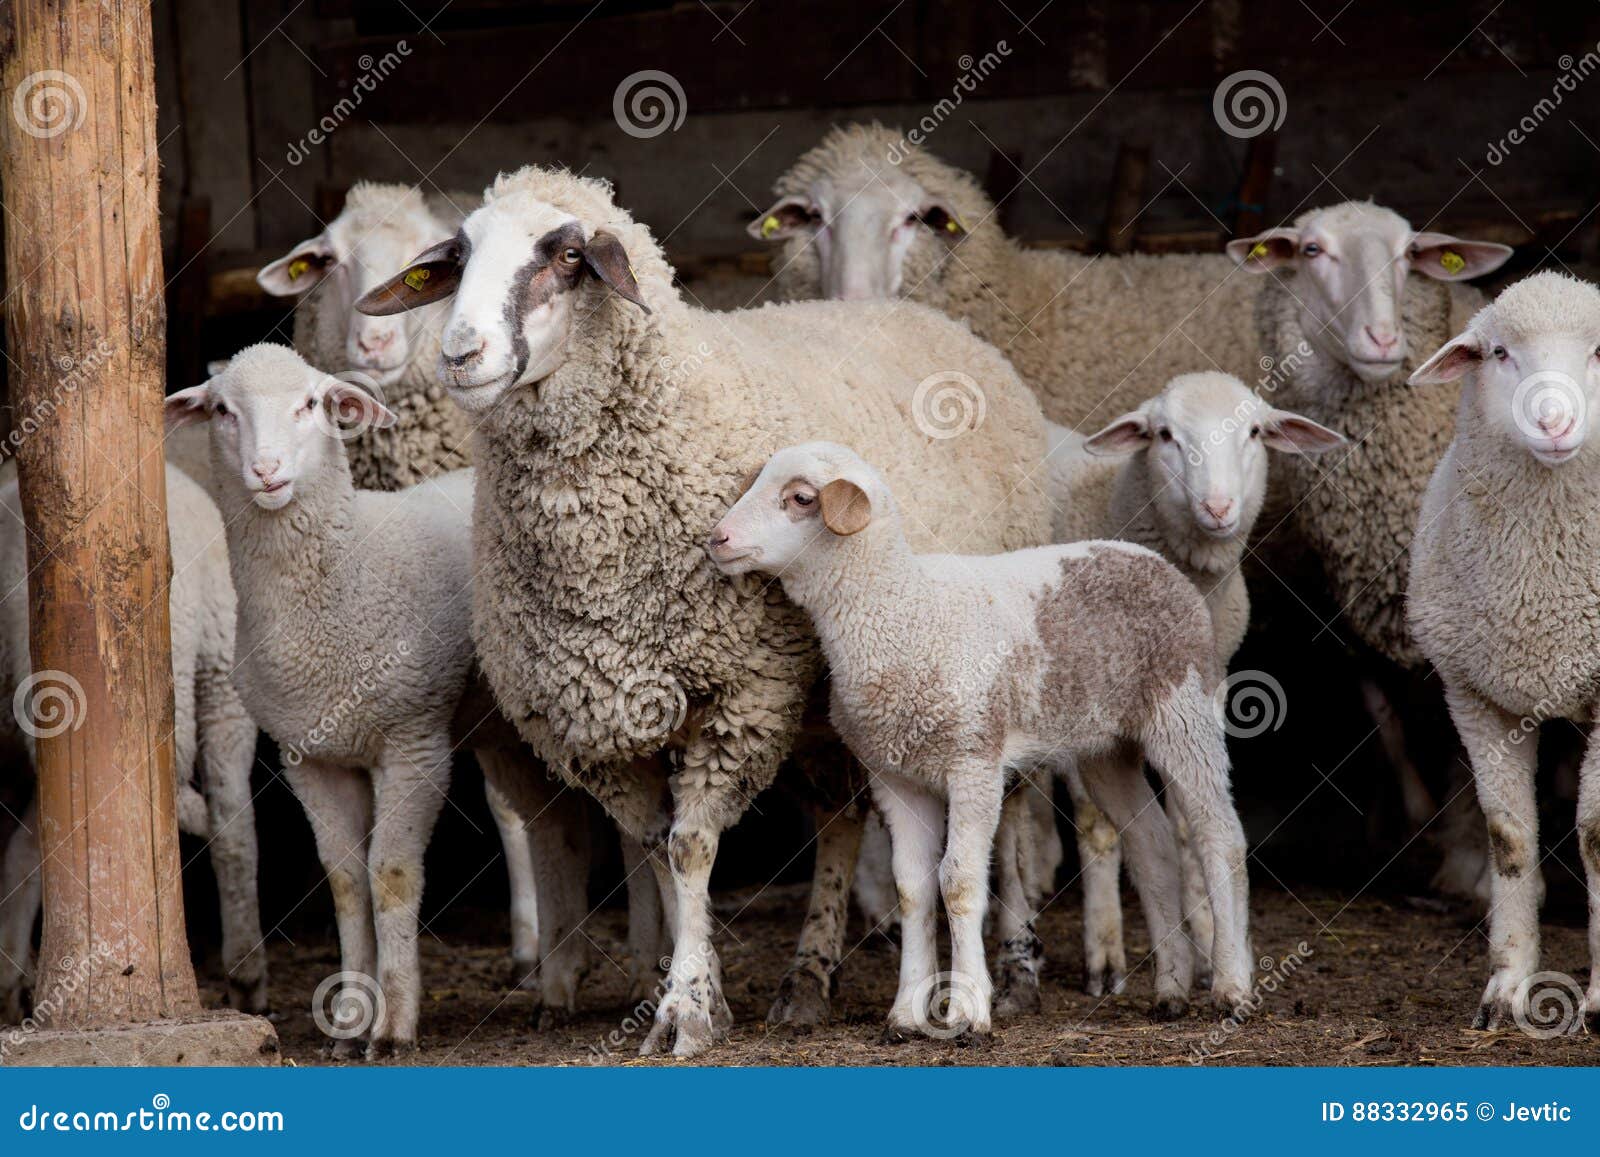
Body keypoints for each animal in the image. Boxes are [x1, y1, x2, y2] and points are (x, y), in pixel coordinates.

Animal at [162, 342, 568, 1055]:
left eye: (309, 404)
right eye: (222, 411)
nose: (266, 471)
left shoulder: (413, 740)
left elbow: (392, 874)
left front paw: (396, 1025)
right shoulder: (312, 757)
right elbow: (348, 882)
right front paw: (350, 1020)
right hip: (497, 728)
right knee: (533, 823)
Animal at [353, 164, 1051, 1056]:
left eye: (567, 255)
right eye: (461, 254)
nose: (460, 354)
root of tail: (933, 320)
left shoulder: (744, 696)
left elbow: (689, 847)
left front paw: (684, 1010)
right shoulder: (599, 723)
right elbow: (656, 849)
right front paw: (699, 993)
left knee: (1014, 808)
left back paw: (1020, 967)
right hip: (829, 707)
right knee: (837, 817)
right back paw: (806, 979)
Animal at [710, 440, 1253, 1032]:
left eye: (801, 498)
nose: (718, 539)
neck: (900, 611)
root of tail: (1152, 562)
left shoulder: (973, 762)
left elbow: (960, 882)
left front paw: (968, 1008)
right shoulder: (896, 774)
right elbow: (913, 888)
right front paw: (906, 1012)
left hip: (1184, 710)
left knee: (1219, 836)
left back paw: (1231, 986)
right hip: (1108, 747)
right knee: (1152, 847)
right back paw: (1171, 988)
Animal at [1233, 201, 1513, 901]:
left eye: (1410, 254)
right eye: (1311, 251)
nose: (1384, 341)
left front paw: (1473, 869)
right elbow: (1390, 719)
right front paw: (1429, 833)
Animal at [1406, 271, 1600, 1030]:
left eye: (1599, 351)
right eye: (1497, 354)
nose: (1553, 423)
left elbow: (1596, 834)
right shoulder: (1476, 694)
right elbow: (1508, 837)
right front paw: (1507, 987)